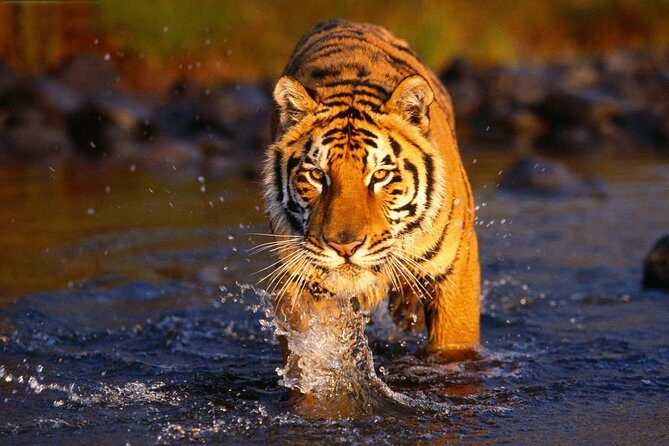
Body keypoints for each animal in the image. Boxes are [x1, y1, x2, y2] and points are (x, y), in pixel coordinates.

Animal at [261, 19, 480, 360]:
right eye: (316, 175)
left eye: (380, 175)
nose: (345, 248)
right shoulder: (300, 281)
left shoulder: (456, 271)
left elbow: (453, 345)